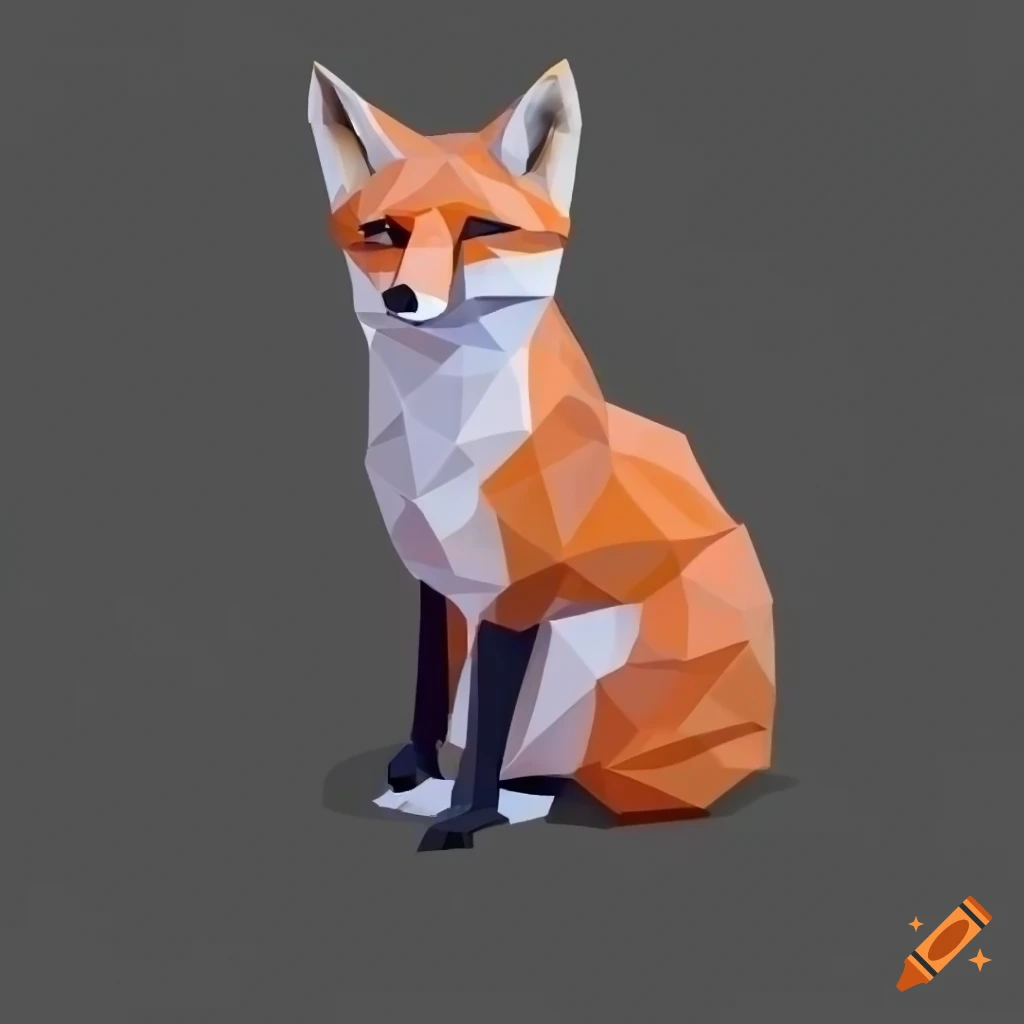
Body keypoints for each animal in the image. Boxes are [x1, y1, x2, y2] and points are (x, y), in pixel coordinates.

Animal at [307, 58, 776, 851]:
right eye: (384, 232)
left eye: (482, 230)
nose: (403, 298)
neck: (440, 444)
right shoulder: (436, 578)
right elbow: (431, 689)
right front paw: (417, 770)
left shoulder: (517, 590)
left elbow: (487, 730)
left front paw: (466, 816)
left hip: (586, 668)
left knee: (577, 775)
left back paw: (523, 797)